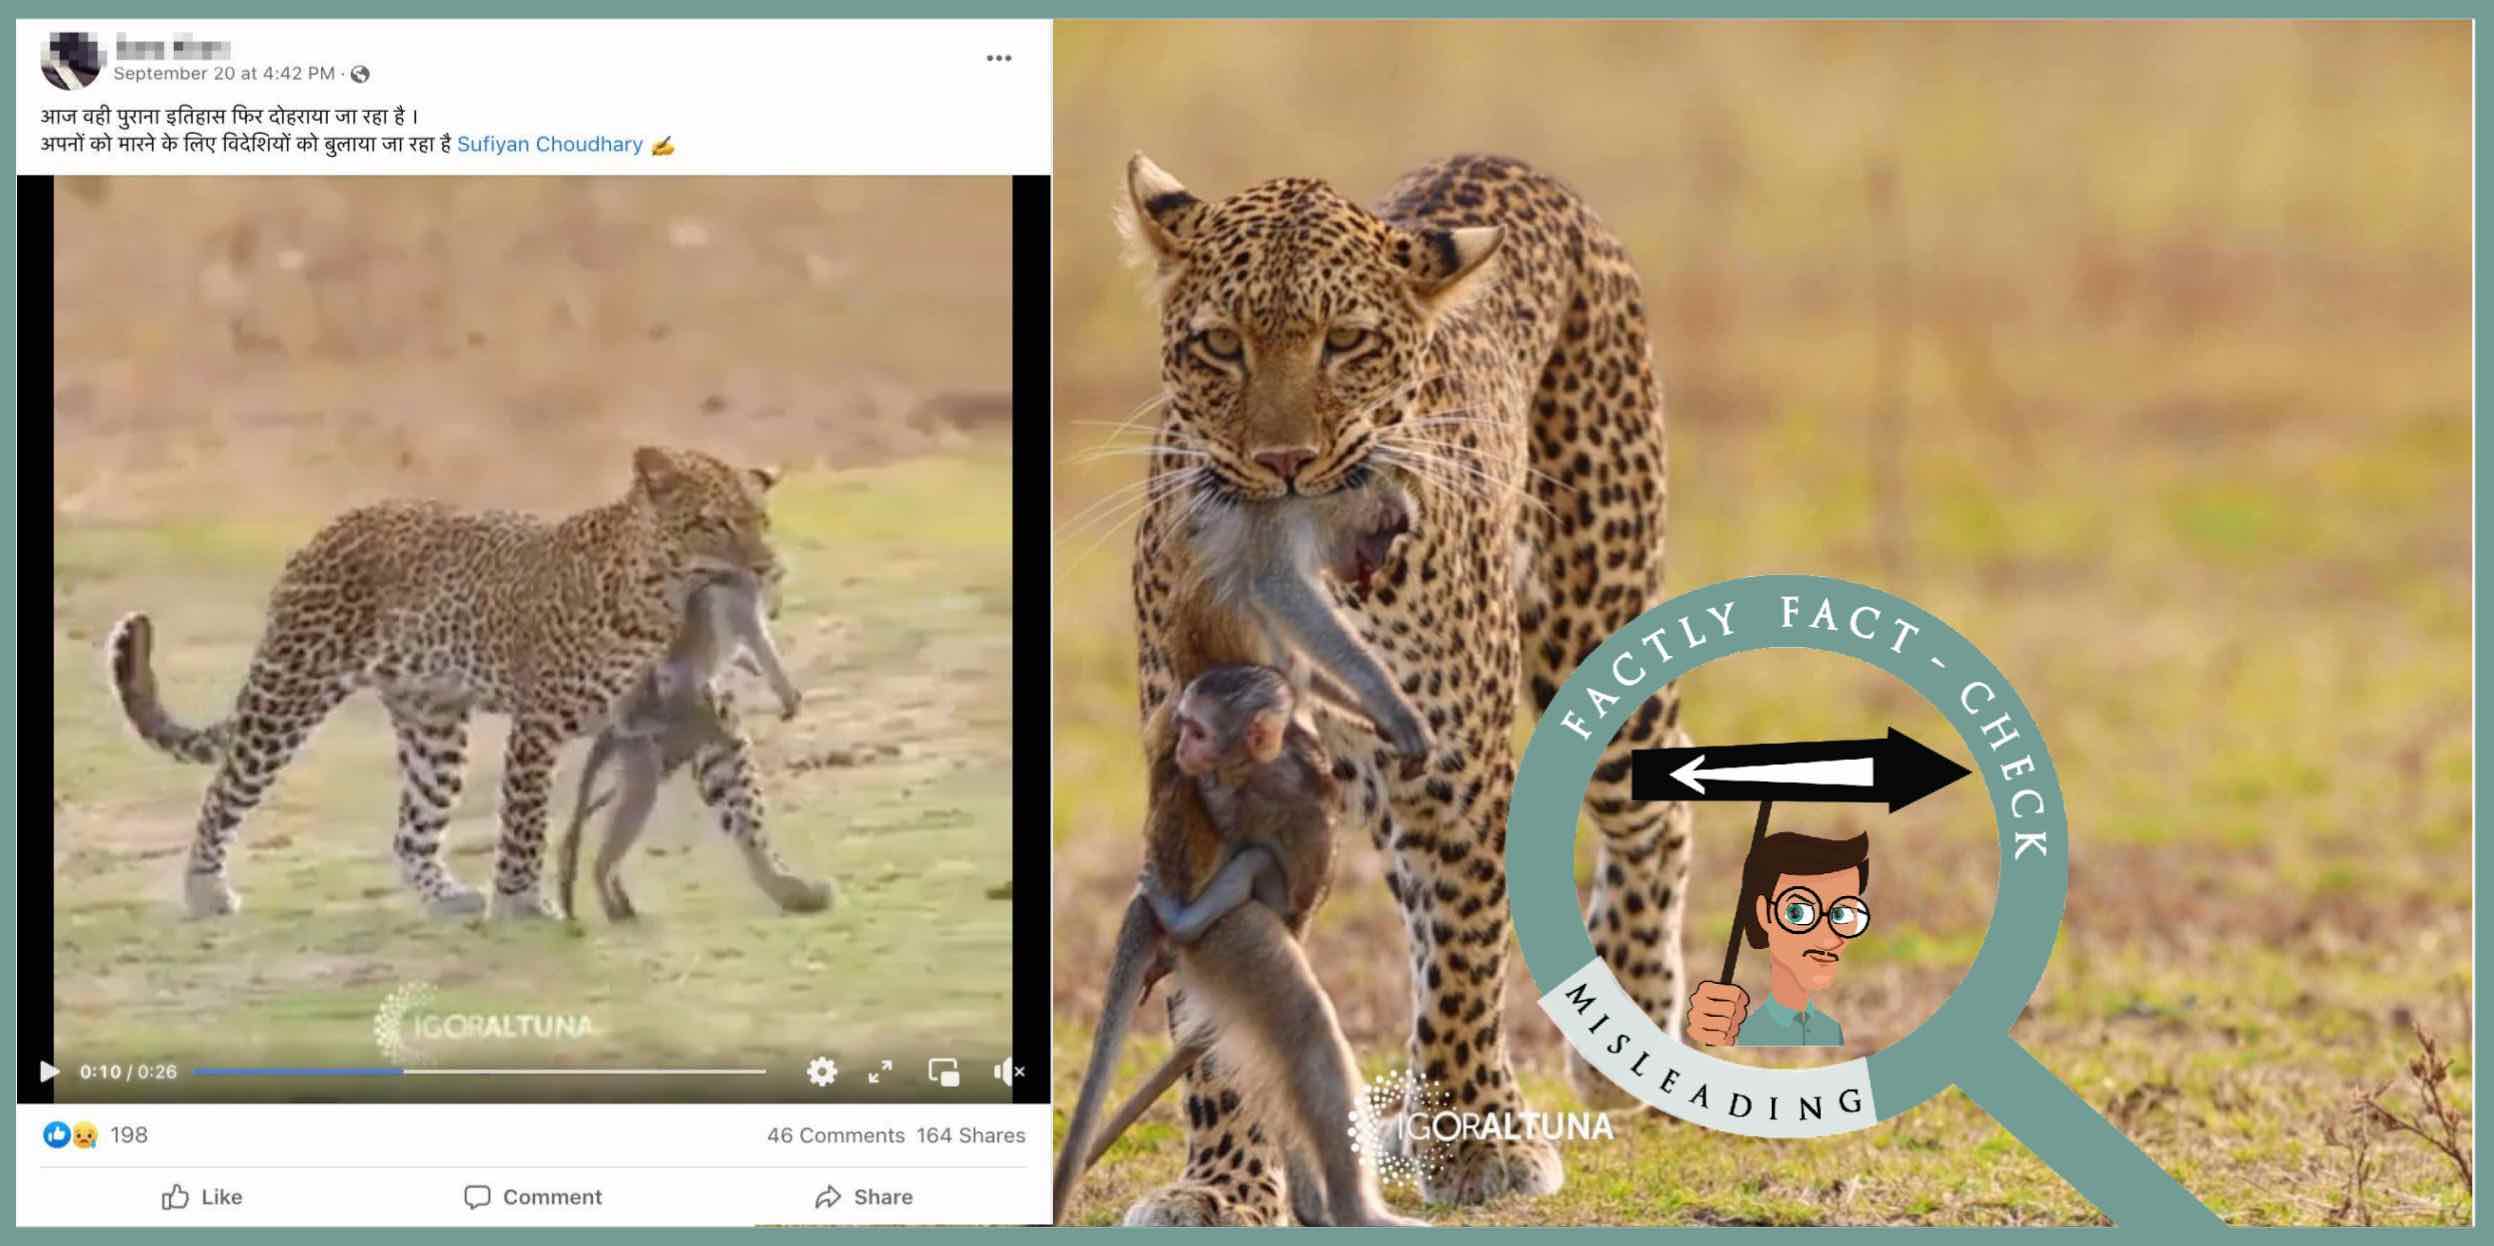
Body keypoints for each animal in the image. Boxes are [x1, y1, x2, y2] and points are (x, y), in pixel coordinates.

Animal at [556, 570, 802, 922]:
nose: (777, 605)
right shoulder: (740, 602)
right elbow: (758, 640)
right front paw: (786, 692)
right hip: (652, 724)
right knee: (640, 791)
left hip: (652, 737)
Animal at [1054, 666, 1422, 1227]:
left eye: (1199, 730)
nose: (1182, 746)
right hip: (1228, 937)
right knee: (1302, 1018)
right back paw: (1352, 1211)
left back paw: (1316, 1207)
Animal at [1111, 152, 1694, 1223]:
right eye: (1220, 345)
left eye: (1346, 343)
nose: (1283, 462)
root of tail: (1508, 160)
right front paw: (1221, 1185)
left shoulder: (1451, 763)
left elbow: (1464, 952)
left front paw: (1479, 1146)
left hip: (1596, 604)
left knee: (1651, 805)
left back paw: (1623, 1032)